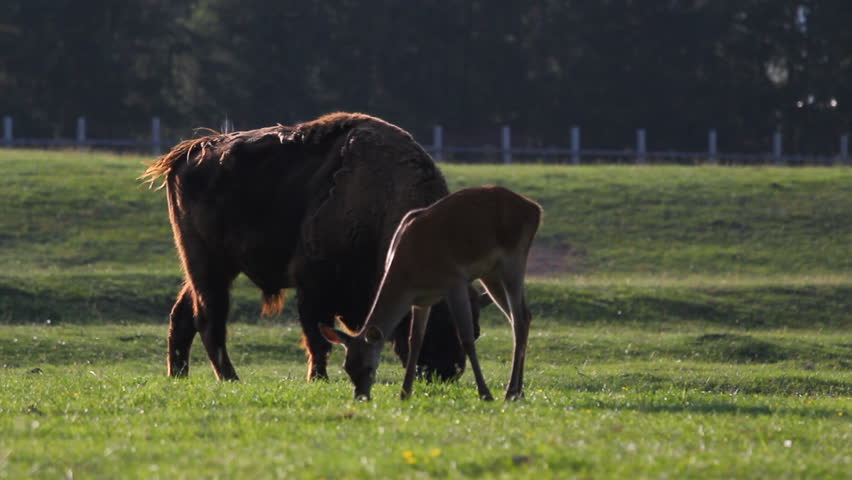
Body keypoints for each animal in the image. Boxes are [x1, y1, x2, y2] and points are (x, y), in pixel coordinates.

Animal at [320, 185, 542, 401]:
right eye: (347, 367)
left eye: (369, 367)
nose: (361, 397)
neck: (410, 270)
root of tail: (535, 209)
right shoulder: (421, 300)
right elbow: (415, 341)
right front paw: (405, 393)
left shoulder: (455, 282)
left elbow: (466, 338)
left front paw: (485, 393)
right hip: (490, 273)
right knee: (523, 316)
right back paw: (518, 392)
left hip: (514, 259)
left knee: (519, 319)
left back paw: (510, 391)